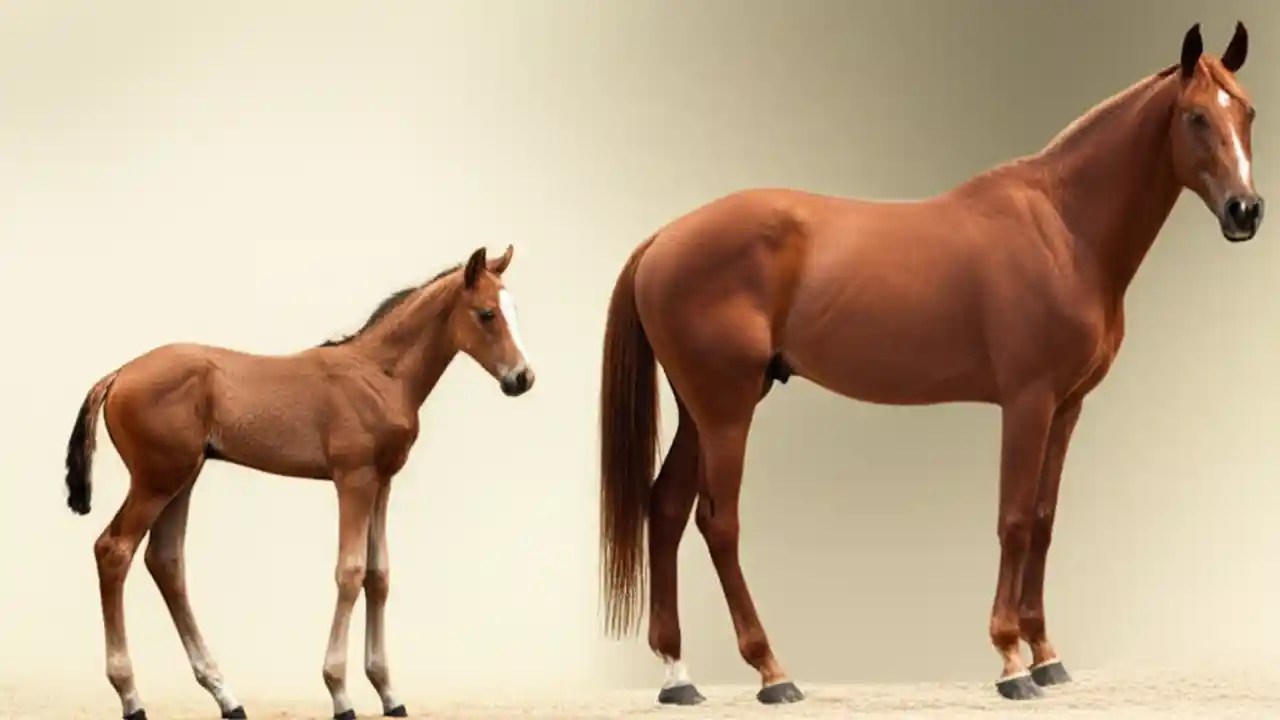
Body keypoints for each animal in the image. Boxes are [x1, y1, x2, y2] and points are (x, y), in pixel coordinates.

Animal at [63, 245, 534, 720]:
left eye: (513, 309)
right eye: (487, 313)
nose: (523, 378)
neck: (380, 374)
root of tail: (118, 374)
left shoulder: (382, 483)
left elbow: (378, 575)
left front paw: (389, 693)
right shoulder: (353, 479)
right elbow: (350, 572)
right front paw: (340, 693)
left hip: (182, 477)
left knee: (165, 561)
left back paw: (226, 696)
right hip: (156, 480)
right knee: (113, 550)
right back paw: (131, 696)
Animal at [598, 21, 1262, 705]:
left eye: (1247, 112)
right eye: (1195, 117)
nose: (1246, 211)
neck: (1063, 229)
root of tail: (664, 238)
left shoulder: (1067, 407)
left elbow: (1044, 520)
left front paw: (1047, 655)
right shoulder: (1027, 401)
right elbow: (1014, 520)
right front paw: (1010, 660)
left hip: (701, 409)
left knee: (665, 509)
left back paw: (679, 676)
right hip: (727, 411)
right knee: (717, 522)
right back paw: (772, 672)